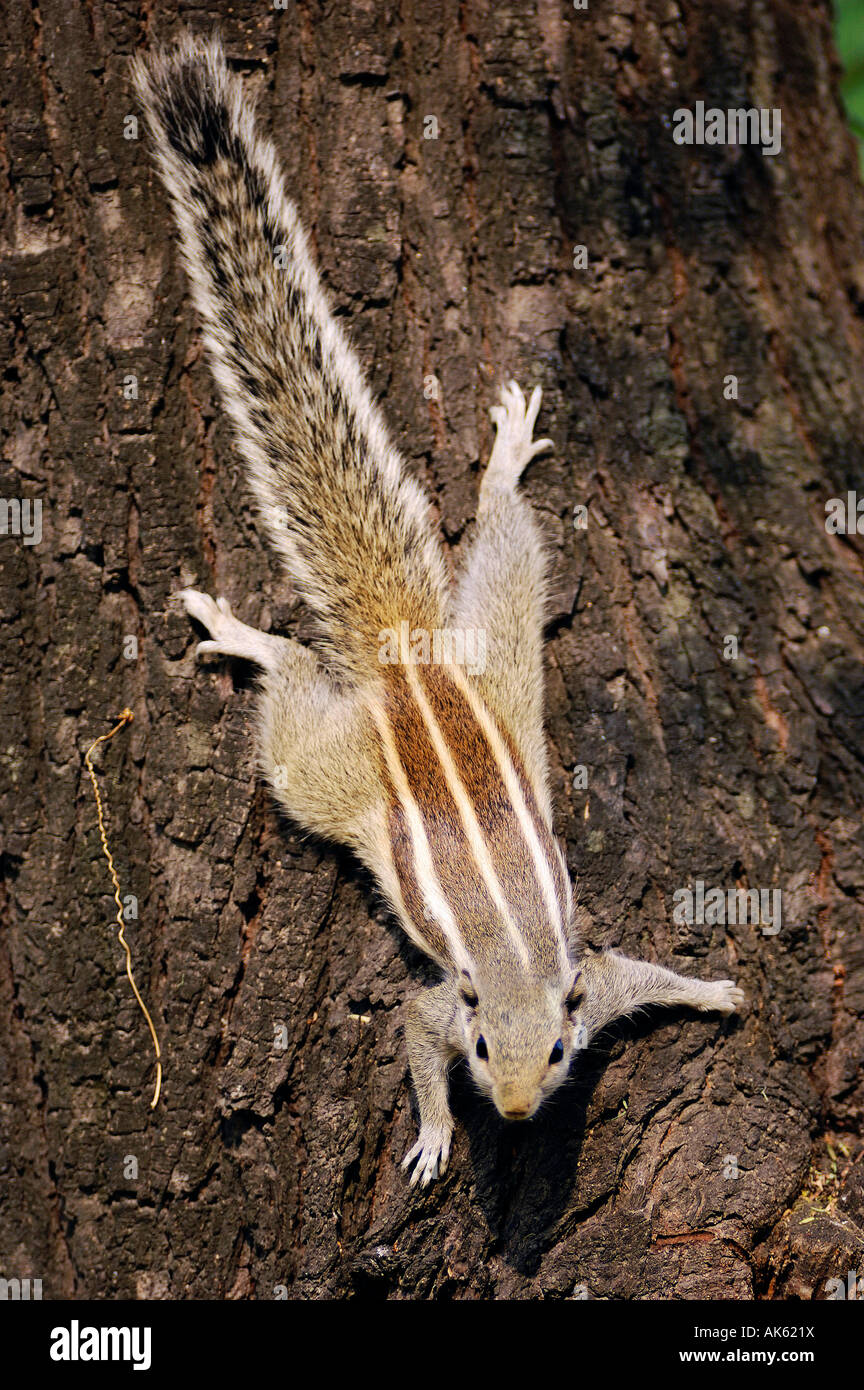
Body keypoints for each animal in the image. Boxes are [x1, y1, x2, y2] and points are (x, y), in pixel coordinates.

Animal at [132, 34, 744, 1187]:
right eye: (483, 1046)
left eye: (559, 1049)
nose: (512, 1111)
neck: (507, 962)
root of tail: (408, 665)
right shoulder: (436, 1004)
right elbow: (410, 1038)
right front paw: (430, 1134)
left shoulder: (590, 977)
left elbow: (643, 976)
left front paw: (712, 989)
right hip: (332, 771)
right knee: (293, 696)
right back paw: (247, 637)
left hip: (501, 649)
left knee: (506, 545)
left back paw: (501, 468)